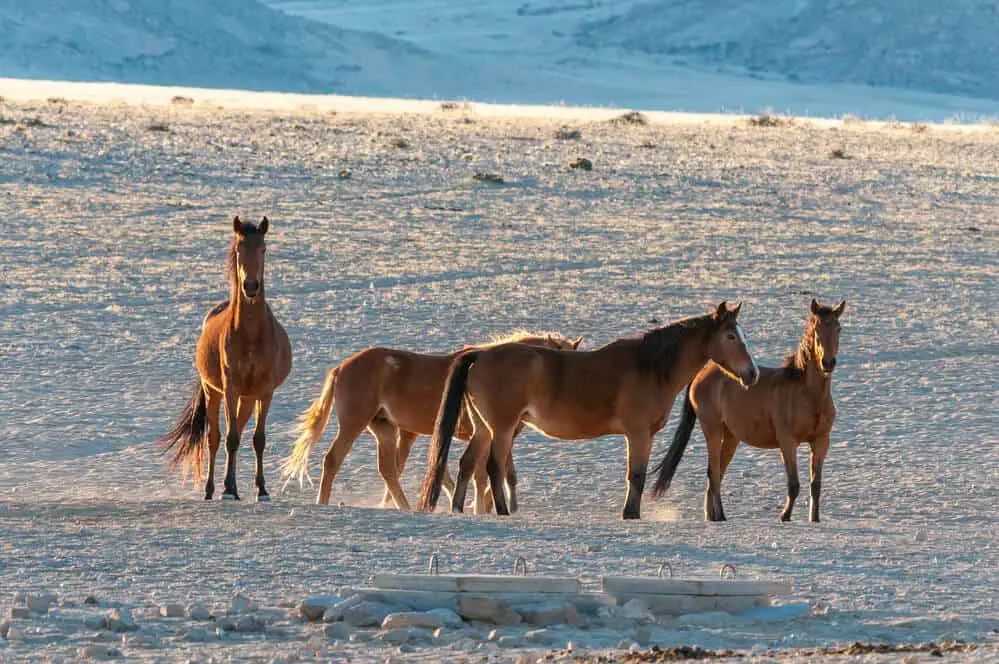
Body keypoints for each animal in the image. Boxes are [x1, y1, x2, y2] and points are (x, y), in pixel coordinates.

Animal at [159, 216, 293, 502]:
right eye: (239, 249)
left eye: (263, 248)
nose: (251, 286)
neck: (251, 334)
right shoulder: (230, 387)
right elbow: (229, 438)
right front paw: (228, 491)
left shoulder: (265, 392)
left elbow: (257, 439)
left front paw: (261, 489)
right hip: (214, 392)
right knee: (216, 438)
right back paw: (215, 489)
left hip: (248, 397)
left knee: (239, 431)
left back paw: (231, 485)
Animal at [280, 331, 583, 512]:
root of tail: (341, 367)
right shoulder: (496, 433)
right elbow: (486, 474)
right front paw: (484, 507)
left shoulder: (497, 434)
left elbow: (499, 473)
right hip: (353, 424)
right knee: (333, 461)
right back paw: (323, 502)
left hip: (385, 429)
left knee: (388, 470)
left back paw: (405, 506)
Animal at [417, 302, 759, 520]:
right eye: (731, 336)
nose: (752, 374)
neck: (650, 366)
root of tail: (481, 354)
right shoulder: (638, 434)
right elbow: (636, 475)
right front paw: (630, 513)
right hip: (502, 428)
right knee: (492, 466)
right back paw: (501, 510)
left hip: (484, 429)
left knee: (467, 463)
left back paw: (459, 509)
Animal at [651, 299, 845, 522]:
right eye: (817, 329)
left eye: (838, 328)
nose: (828, 363)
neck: (809, 395)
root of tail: (703, 373)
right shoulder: (787, 443)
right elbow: (794, 484)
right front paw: (784, 516)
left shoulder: (821, 443)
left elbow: (816, 486)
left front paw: (814, 519)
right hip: (713, 430)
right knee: (713, 473)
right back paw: (719, 516)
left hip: (731, 438)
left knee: (717, 473)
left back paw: (714, 516)